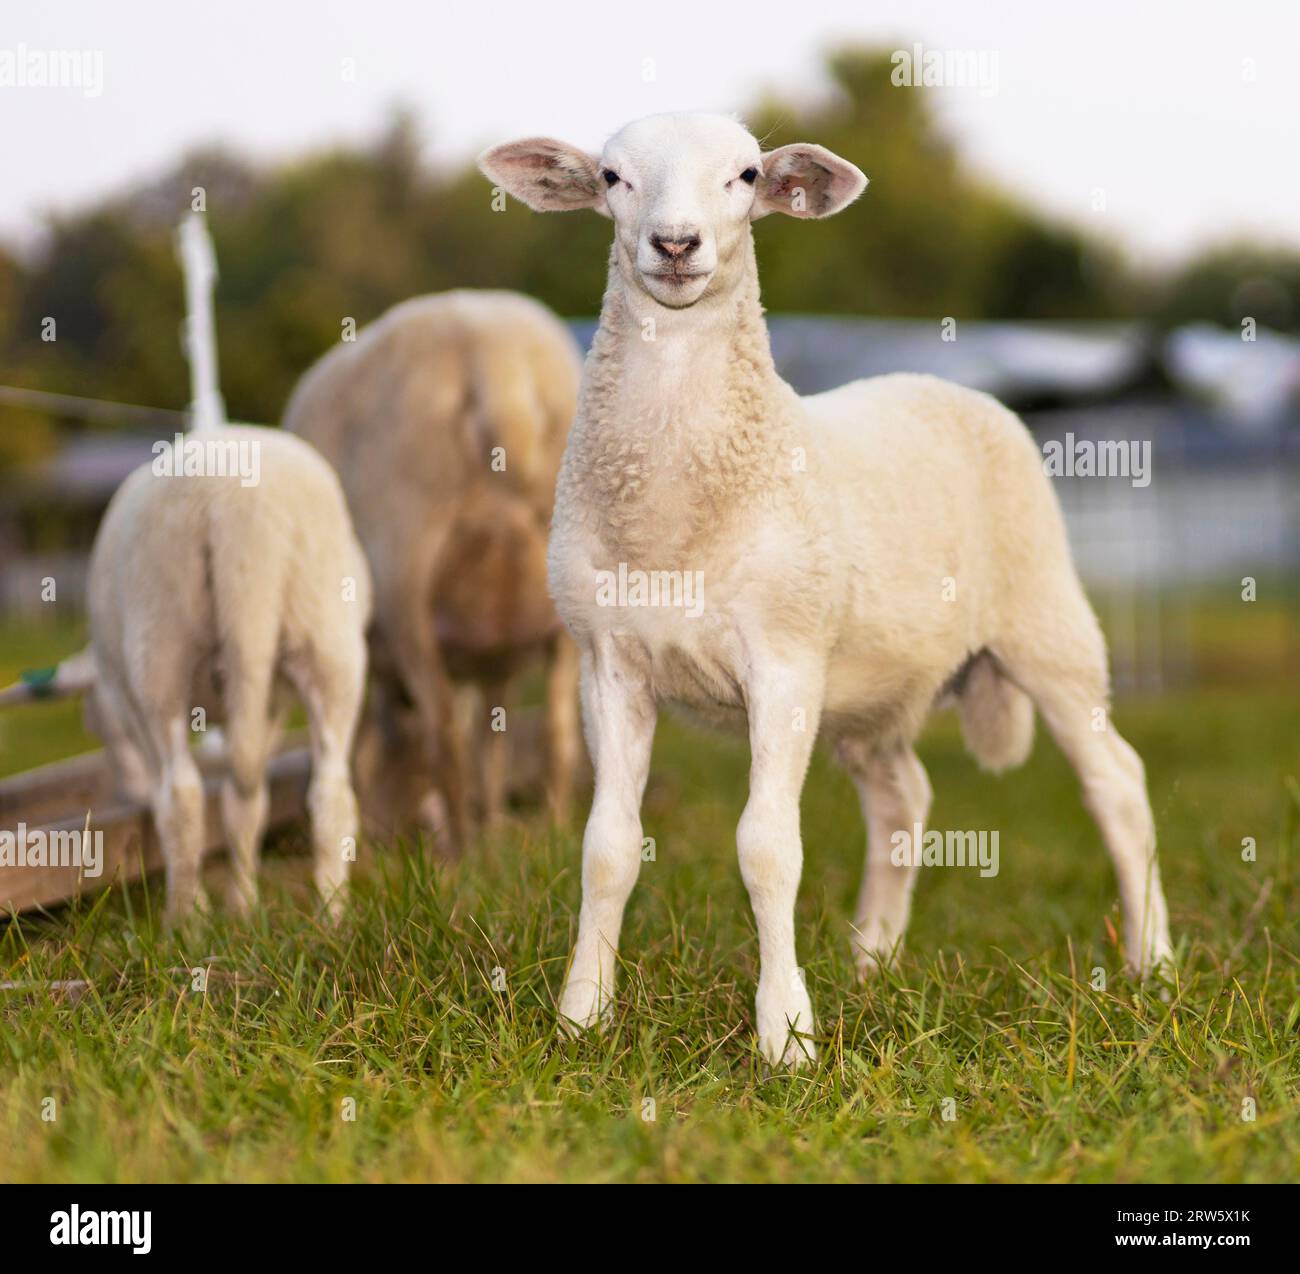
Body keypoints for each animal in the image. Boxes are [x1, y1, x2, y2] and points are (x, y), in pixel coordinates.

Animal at [81, 424, 371, 926]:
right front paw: (243, 905)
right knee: (329, 791)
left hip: (160, 645)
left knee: (183, 796)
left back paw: (184, 921)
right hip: (327, 637)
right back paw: (332, 913)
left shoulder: (127, 704)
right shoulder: (268, 704)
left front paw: (214, 904)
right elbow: (247, 806)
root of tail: (239, 506)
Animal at [282, 290, 583, 853]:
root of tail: (493, 357)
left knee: (445, 732)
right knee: (557, 730)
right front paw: (496, 825)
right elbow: (494, 739)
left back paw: (461, 852)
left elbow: (362, 747)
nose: (393, 829)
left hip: (406, 570)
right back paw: (553, 833)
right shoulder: (492, 663)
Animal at [480, 113, 1175, 1068]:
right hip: (872, 685)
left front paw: (787, 1037)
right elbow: (607, 847)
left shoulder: (784, 660)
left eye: (744, 175)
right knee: (902, 797)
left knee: (1119, 786)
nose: (675, 243)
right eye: (614, 177)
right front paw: (583, 1015)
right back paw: (872, 958)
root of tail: (943, 384)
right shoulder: (608, 662)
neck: (676, 515)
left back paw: (1155, 963)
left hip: (1046, 623)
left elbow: (768, 848)